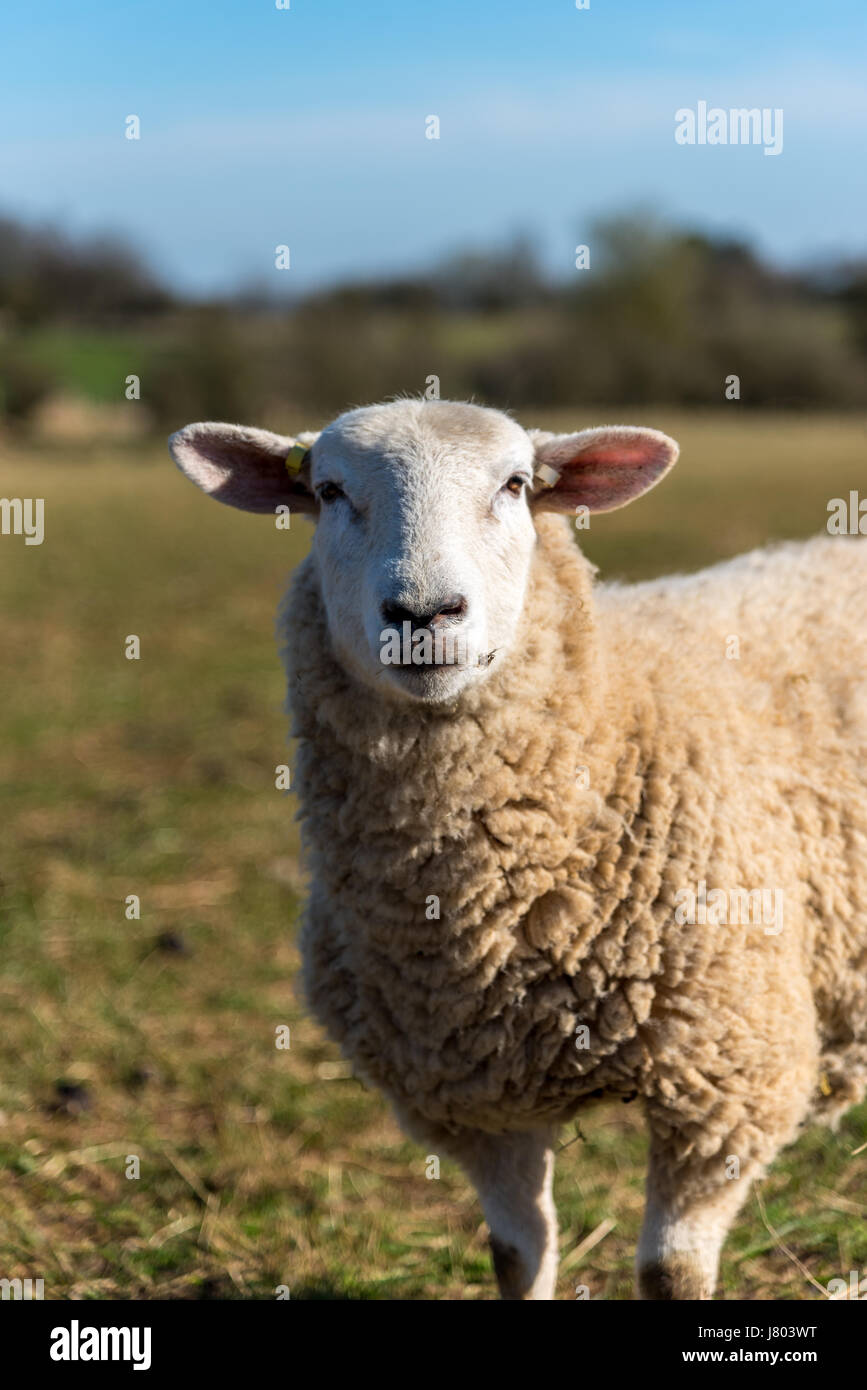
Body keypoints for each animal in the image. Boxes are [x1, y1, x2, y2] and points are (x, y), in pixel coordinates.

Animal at [169, 398, 867, 1301]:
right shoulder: (472, 1094)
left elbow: (669, 1273)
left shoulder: (726, 1077)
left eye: (514, 484)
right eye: (327, 491)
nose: (424, 615)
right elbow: (516, 1255)